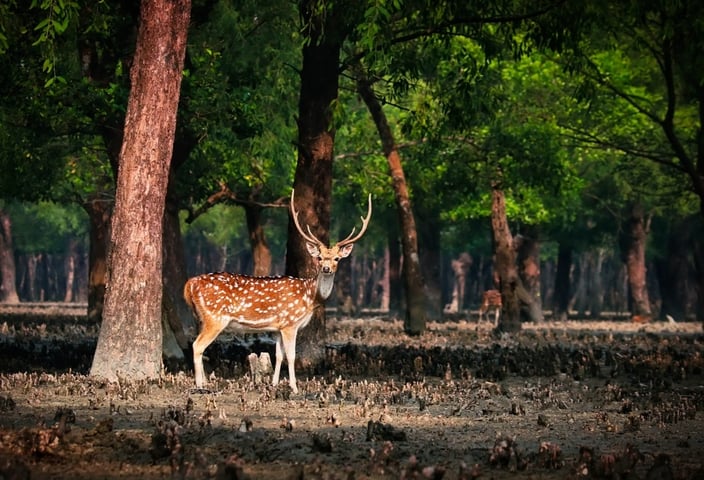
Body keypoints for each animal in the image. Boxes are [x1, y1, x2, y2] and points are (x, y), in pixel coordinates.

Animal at [184, 190, 372, 394]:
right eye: (320, 258)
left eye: (337, 258)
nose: (327, 268)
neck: (310, 297)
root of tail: (189, 284)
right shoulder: (290, 323)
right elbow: (291, 355)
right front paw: (295, 388)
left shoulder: (278, 327)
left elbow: (278, 354)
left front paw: (274, 384)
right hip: (215, 318)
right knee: (197, 345)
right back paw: (200, 385)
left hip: (201, 318)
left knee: (197, 345)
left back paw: (204, 382)